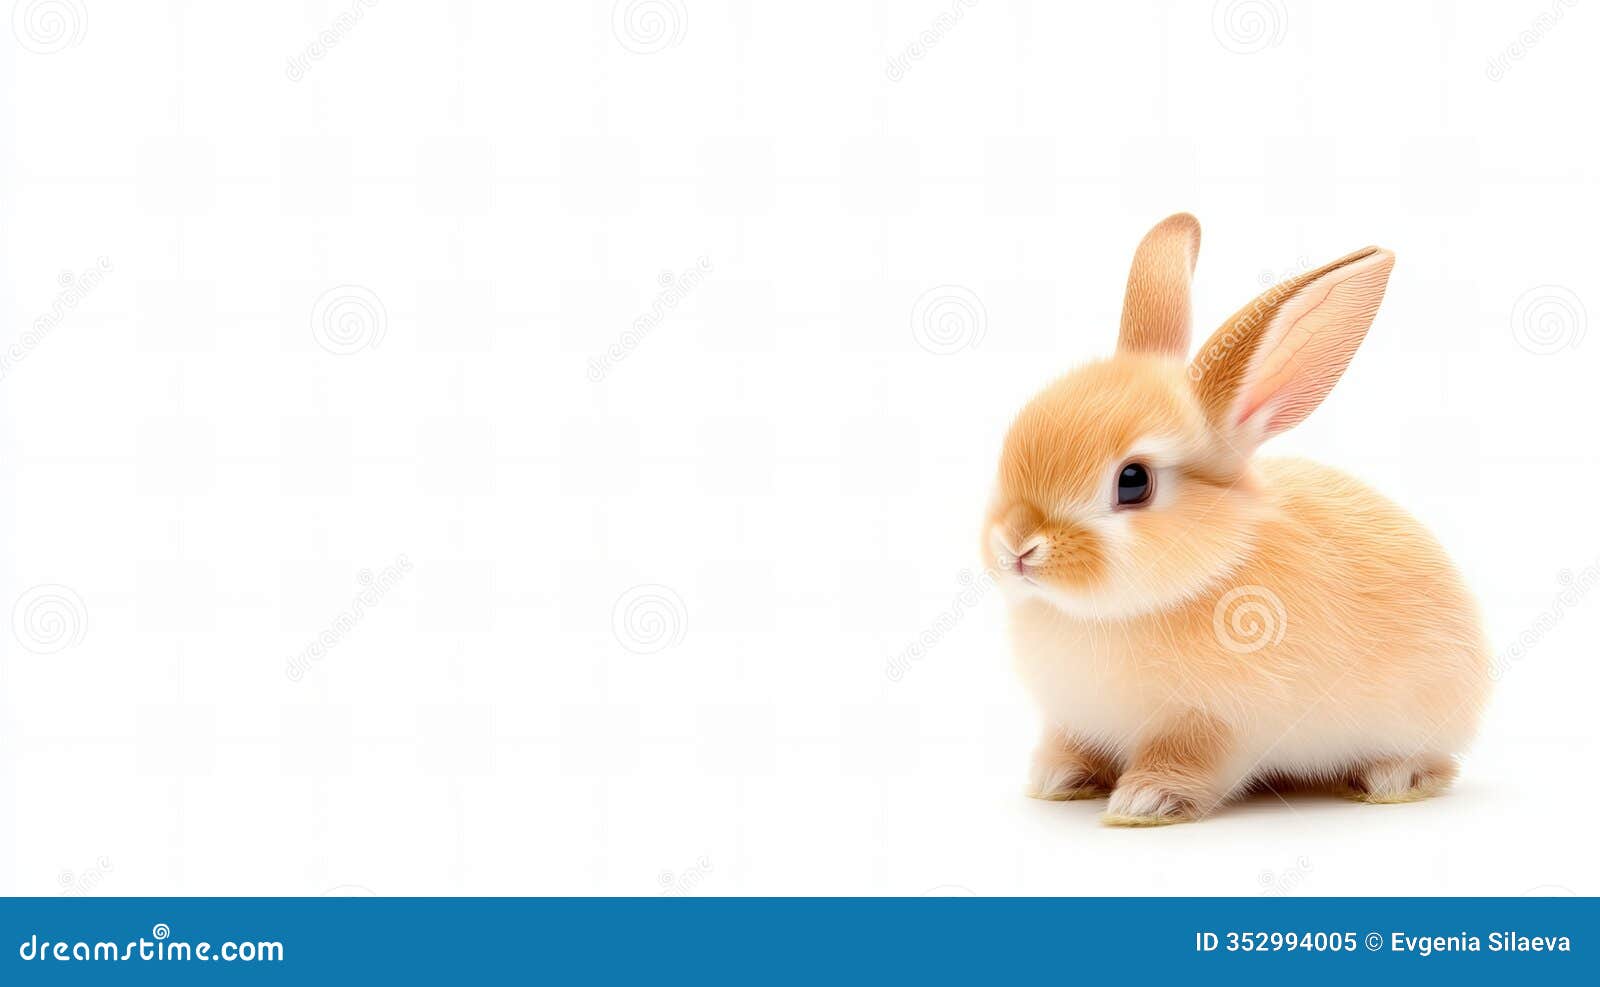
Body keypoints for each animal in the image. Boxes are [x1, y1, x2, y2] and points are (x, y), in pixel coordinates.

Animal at [982, 213, 1490, 826]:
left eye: (1134, 482)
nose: (1016, 546)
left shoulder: (1214, 724)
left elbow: (1188, 761)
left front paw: (1145, 801)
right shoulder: (1075, 718)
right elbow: (1073, 745)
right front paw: (1056, 779)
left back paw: (1389, 779)